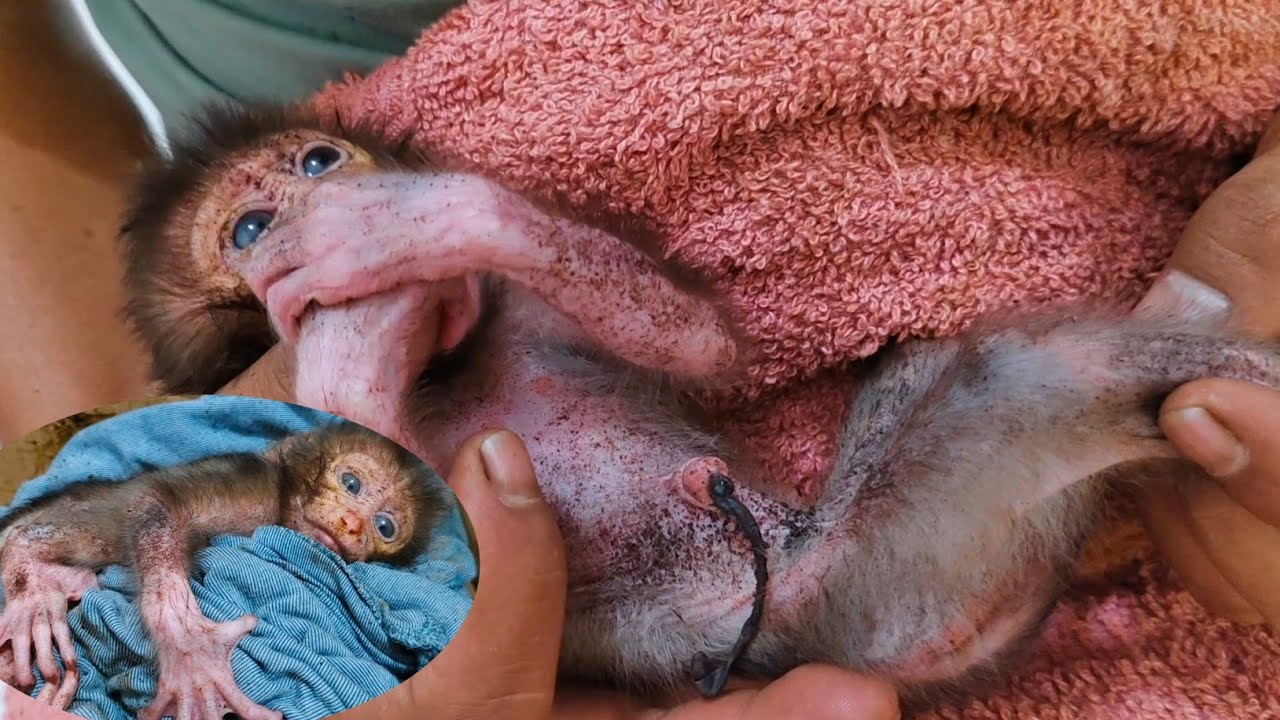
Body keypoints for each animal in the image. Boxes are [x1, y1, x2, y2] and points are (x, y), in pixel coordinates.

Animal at [0, 420, 449, 720]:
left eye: (385, 527)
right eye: (352, 483)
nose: (353, 525)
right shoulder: (253, 489)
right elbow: (155, 504)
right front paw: (192, 655)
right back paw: (32, 582)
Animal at [115, 102, 1280, 707]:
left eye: (319, 160)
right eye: (247, 231)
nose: (310, 204)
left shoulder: (532, 303)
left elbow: (709, 349)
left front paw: (400, 224)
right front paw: (349, 337)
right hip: (906, 548)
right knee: (1023, 370)